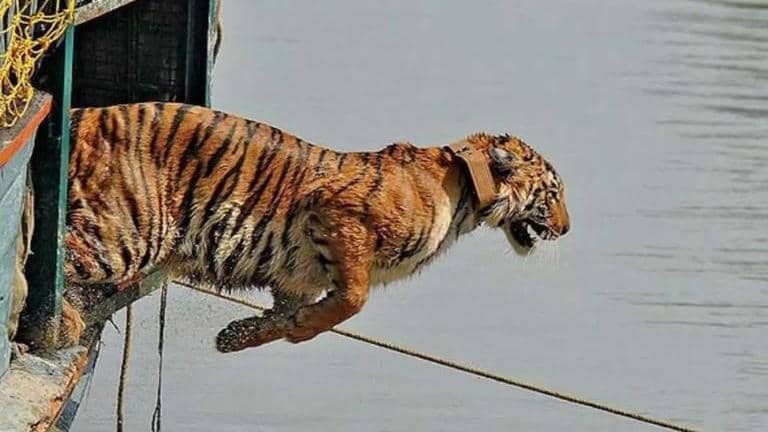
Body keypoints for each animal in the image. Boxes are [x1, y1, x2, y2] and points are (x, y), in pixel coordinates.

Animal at [63, 102, 570, 352]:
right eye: (554, 193)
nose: (566, 230)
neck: (463, 193)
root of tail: (86, 114)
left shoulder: (295, 277)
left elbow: (284, 313)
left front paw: (237, 337)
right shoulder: (340, 215)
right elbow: (352, 299)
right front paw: (302, 328)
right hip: (128, 231)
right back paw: (65, 323)